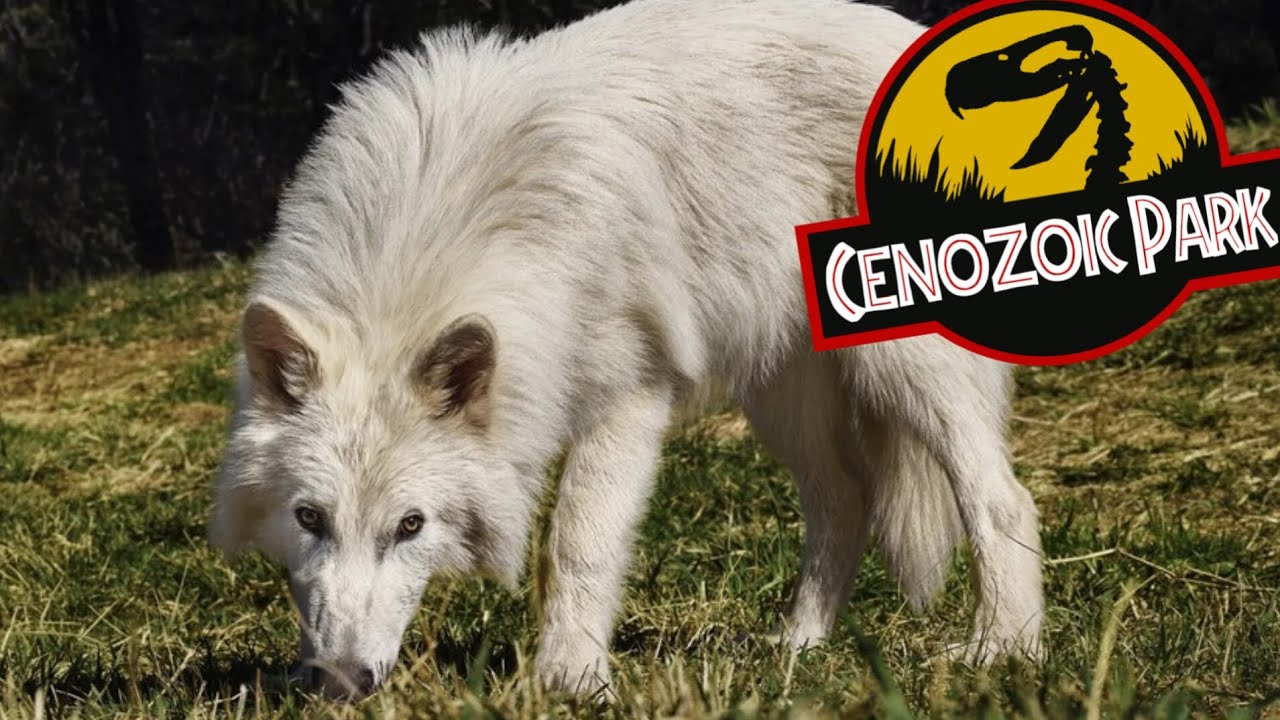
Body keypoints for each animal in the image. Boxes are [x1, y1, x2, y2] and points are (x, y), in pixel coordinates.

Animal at [211, 0, 1044, 701]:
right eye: (310, 517)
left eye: (410, 526)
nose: (336, 682)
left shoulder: (631, 397)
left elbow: (579, 542)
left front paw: (570, 680)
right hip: (783, 400)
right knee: (845, 500)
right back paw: (798, 648)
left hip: (907, 371)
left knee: (1002, 499)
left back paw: (1004, 650)